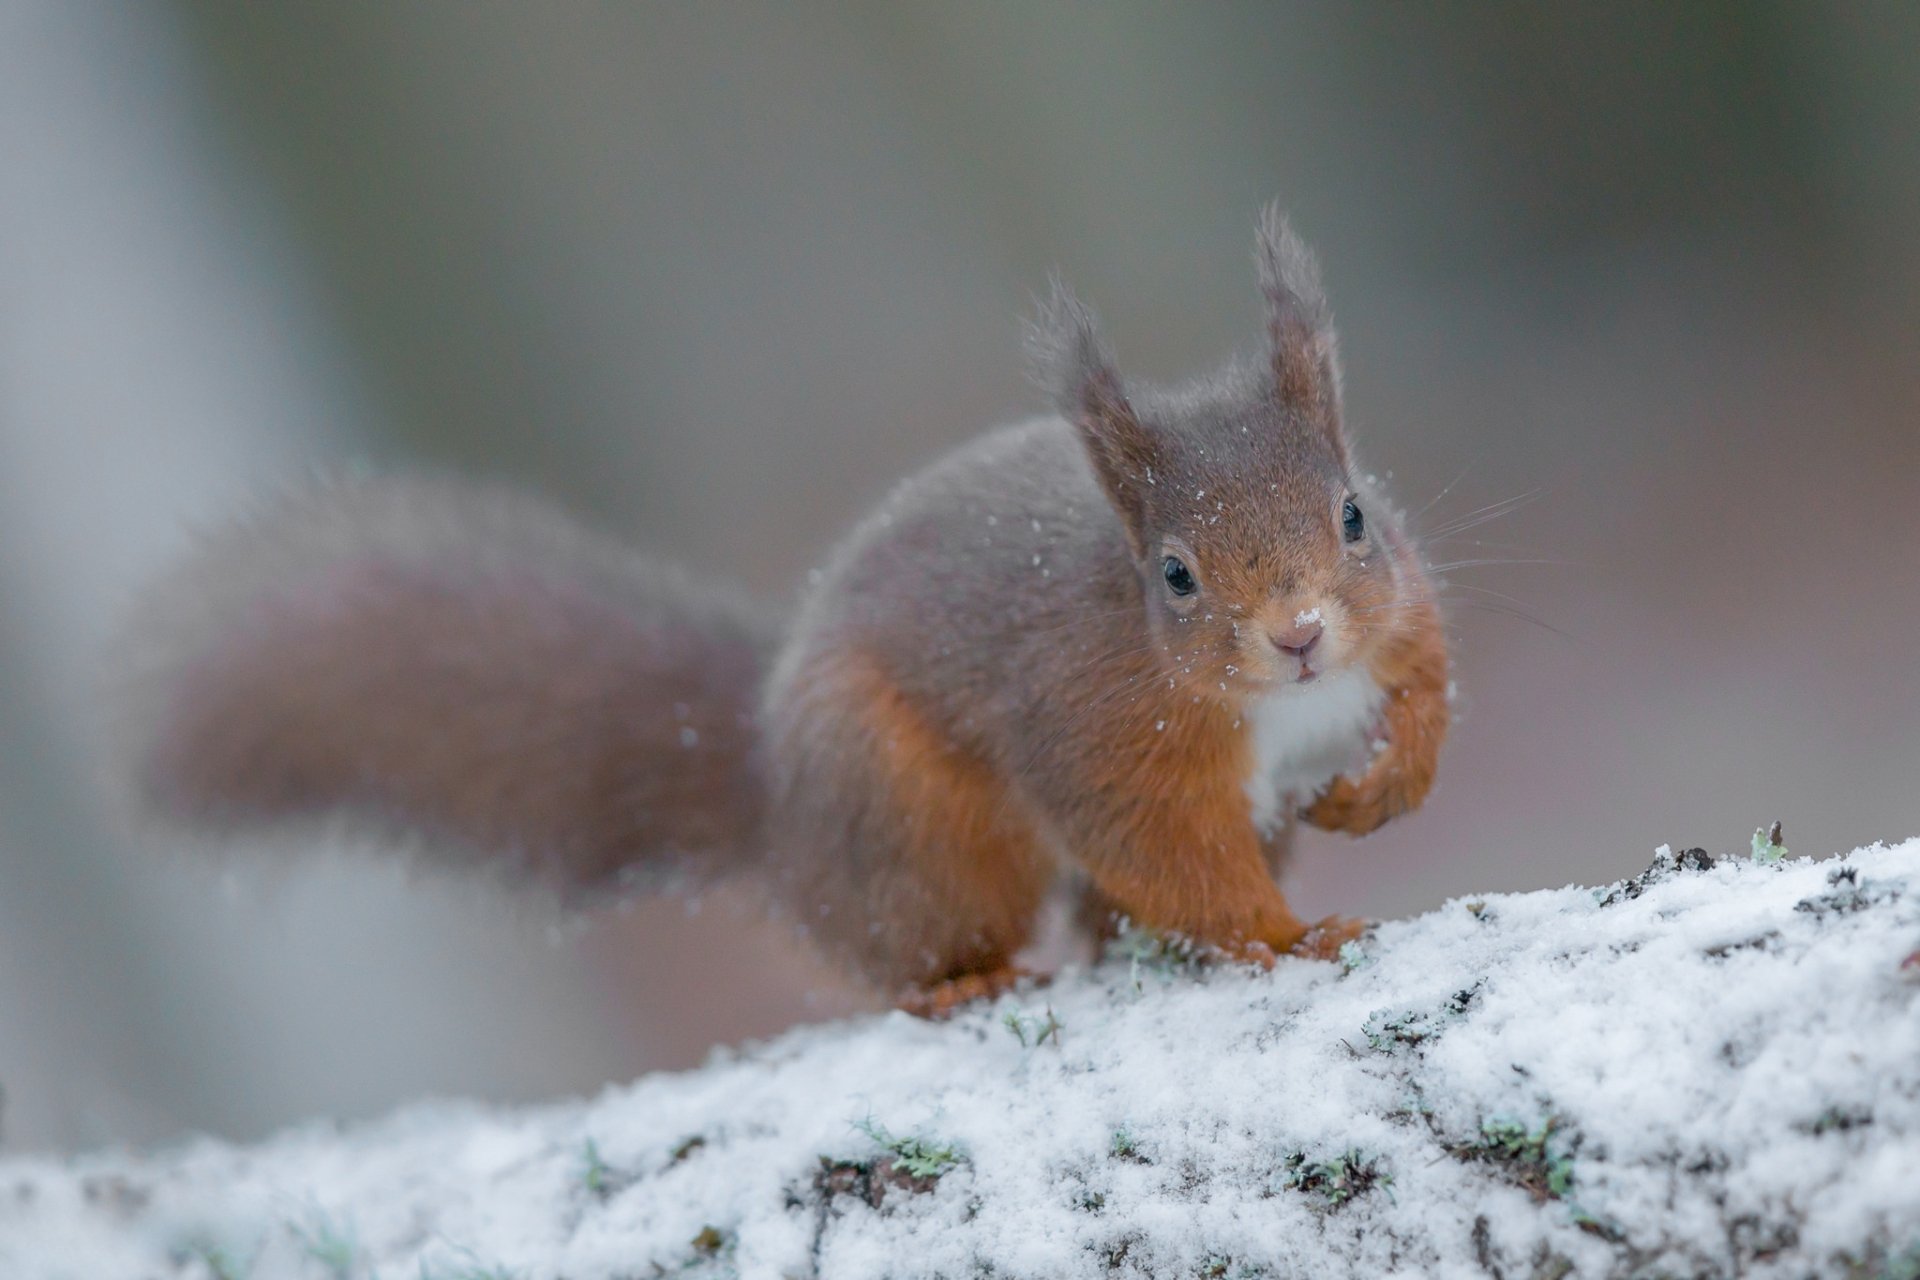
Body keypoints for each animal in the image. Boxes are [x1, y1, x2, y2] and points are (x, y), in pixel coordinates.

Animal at [110, 207, 1449, 1017]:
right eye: (1173, 575)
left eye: (1354, 514)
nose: (1297, 633)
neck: (1277, 698)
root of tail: (767, 784)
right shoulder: (1100, 728)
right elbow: (1174, 853)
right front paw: (1284, 935)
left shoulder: (1402, 612)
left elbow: (1427, 688)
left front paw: (1386, 786)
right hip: (913, 828)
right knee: (912, 944)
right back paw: (959, 984)